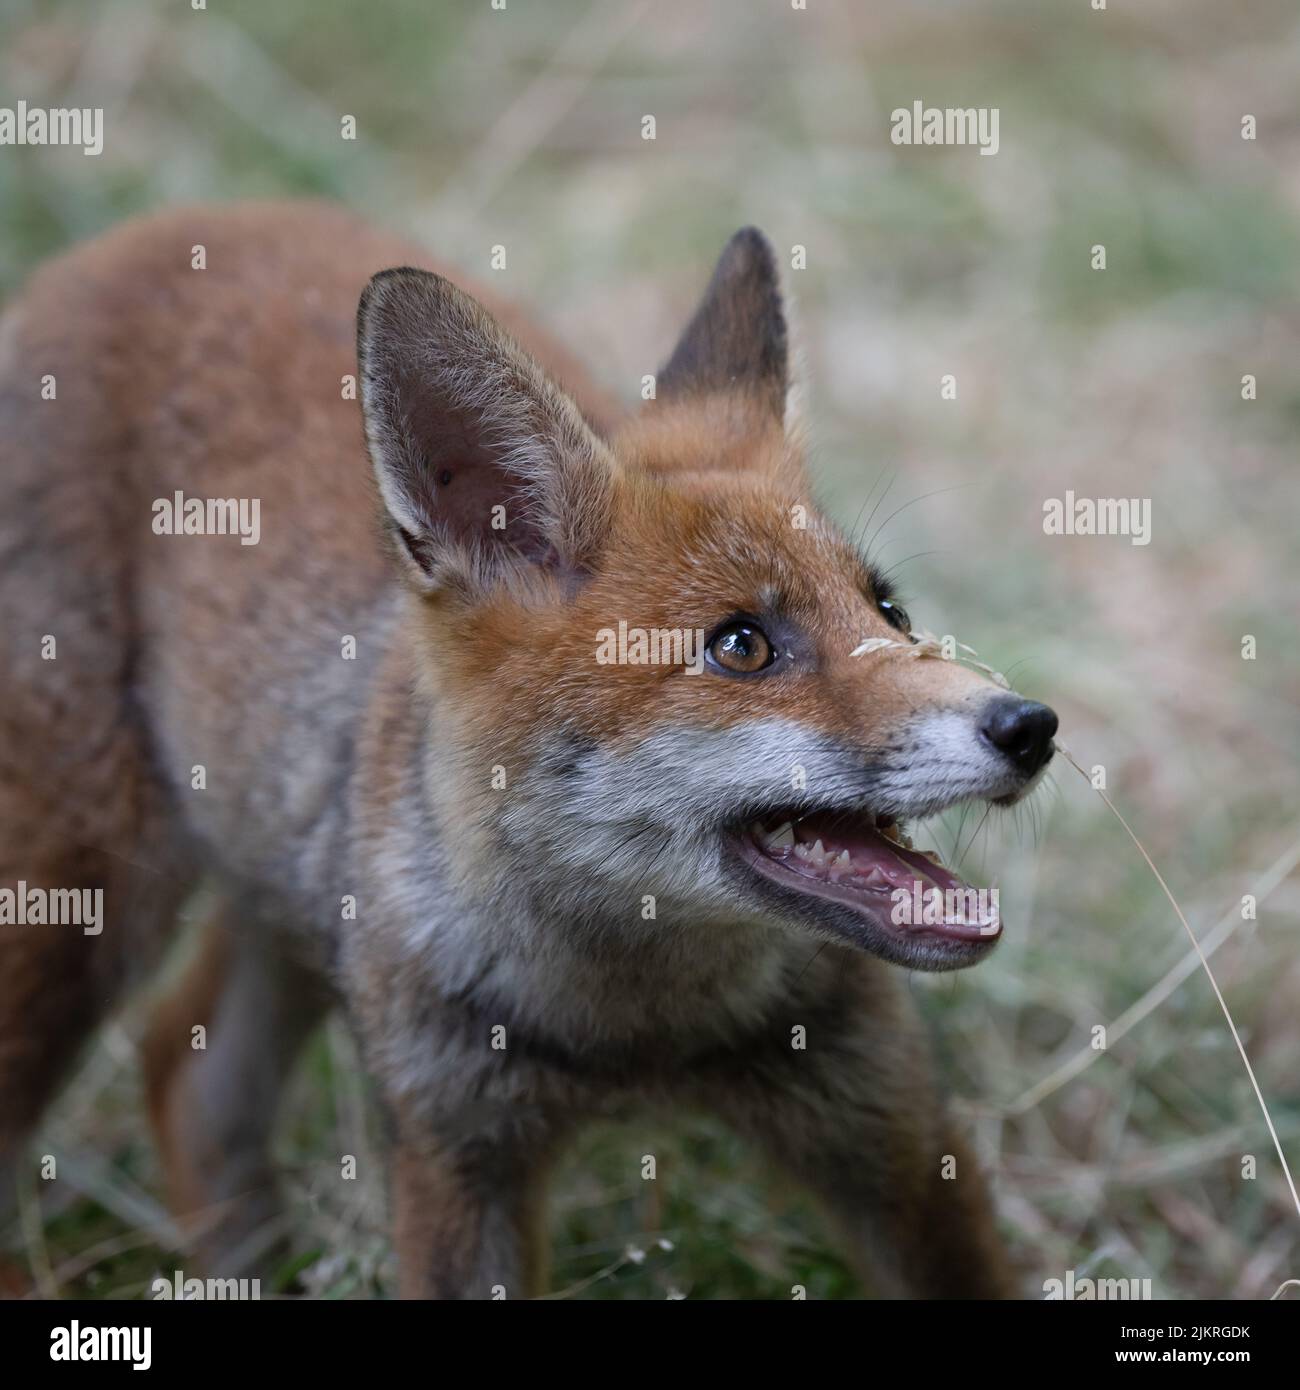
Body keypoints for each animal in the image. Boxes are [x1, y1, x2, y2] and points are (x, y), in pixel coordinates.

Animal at [0, 202, 1057, 1299]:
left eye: (889, 612)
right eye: (742, 646)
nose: (1029, 725)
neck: (637, 1037)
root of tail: (155, 231)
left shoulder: (884, 1128)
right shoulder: (456, 1156)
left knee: (189, 1074)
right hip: (77, 903)